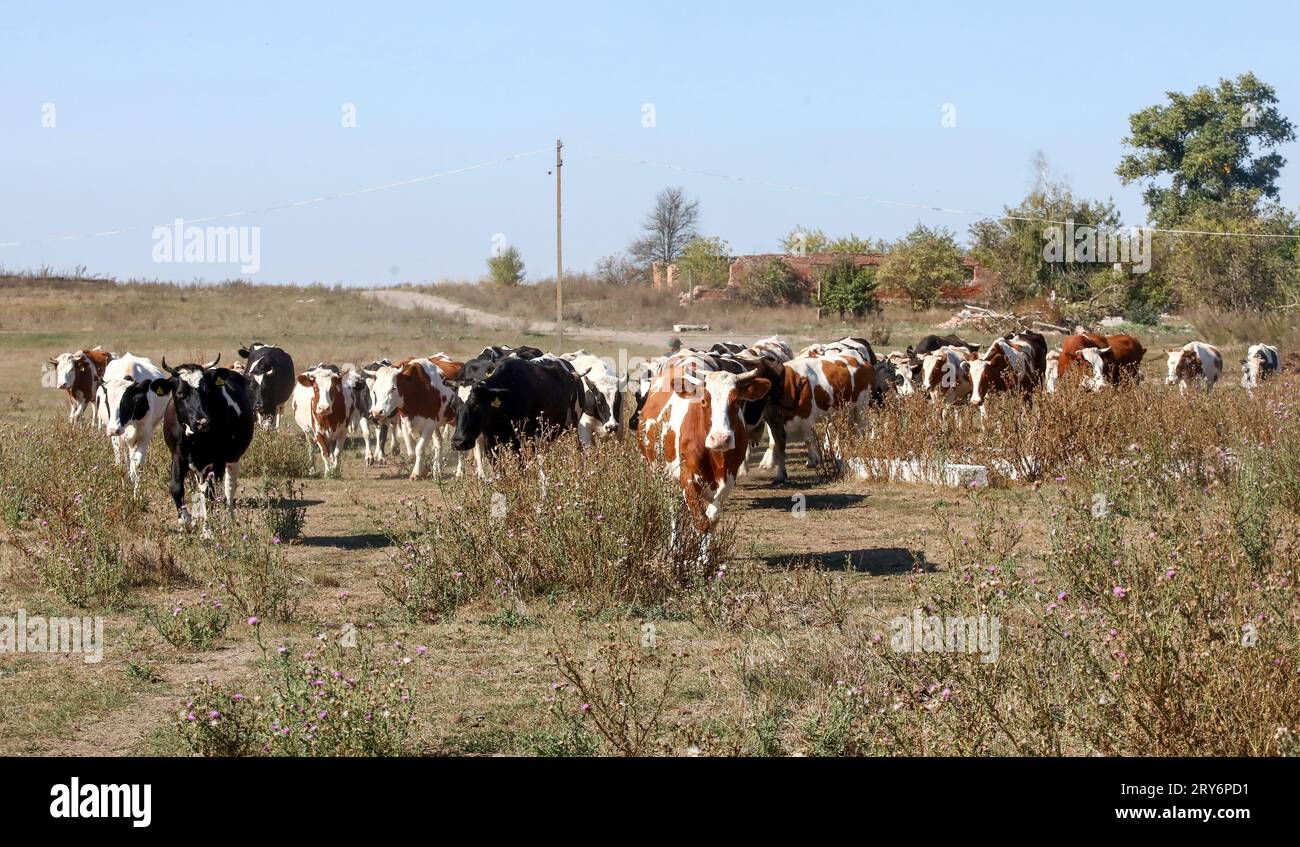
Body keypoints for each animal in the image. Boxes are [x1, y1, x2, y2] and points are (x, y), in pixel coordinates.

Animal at [96, 353, 171, 488]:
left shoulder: (144, 434)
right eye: (106, 402)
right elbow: (120, 461)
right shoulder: (117, 437)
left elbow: (137, 465)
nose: (113, 429)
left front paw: (137, 491)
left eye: (127, 402)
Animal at [153, 355, 255, 531]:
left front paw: (208, 530)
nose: (202, 422)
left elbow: (211, 494)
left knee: (228, 489)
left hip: (232, 459)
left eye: (207, 391)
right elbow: (176, 487)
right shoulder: (178, 455)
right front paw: (186, 521)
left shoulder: (218, 460)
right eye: (180, 393)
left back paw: (229, 520)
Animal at [450, 357, 583, 458]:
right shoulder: (491, 449)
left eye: (476, 405)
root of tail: (571, 374)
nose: (458, 442)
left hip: (572, 429)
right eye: (454, 407)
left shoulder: (525, 446)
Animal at [638, 365, 772, 530]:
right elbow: (701, 521)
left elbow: (712, 519)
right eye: (703, 400)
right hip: (661, 474)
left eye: (738, 401)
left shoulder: (729, 480)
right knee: (674, 513)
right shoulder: (688, 479)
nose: (720, 438)